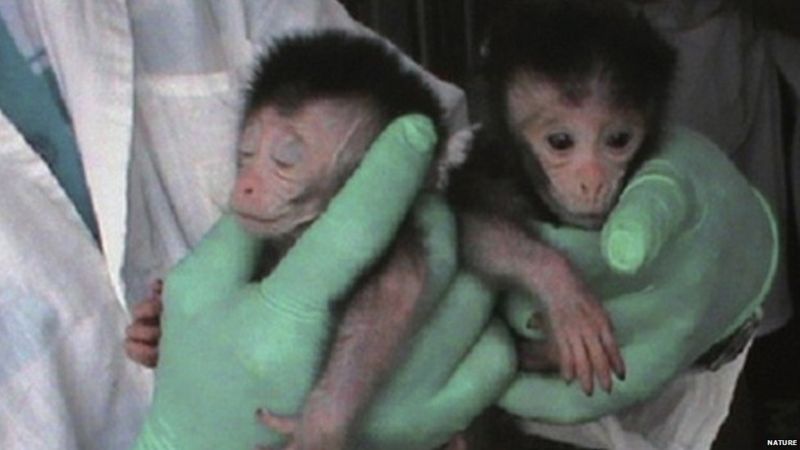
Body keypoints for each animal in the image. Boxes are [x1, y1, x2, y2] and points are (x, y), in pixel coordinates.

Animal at [446, 0, 677, 398]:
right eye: (560, 141)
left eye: (618, 139)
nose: (592, 181)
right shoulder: (493, 167)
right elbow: (464, 216)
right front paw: (563, 290)